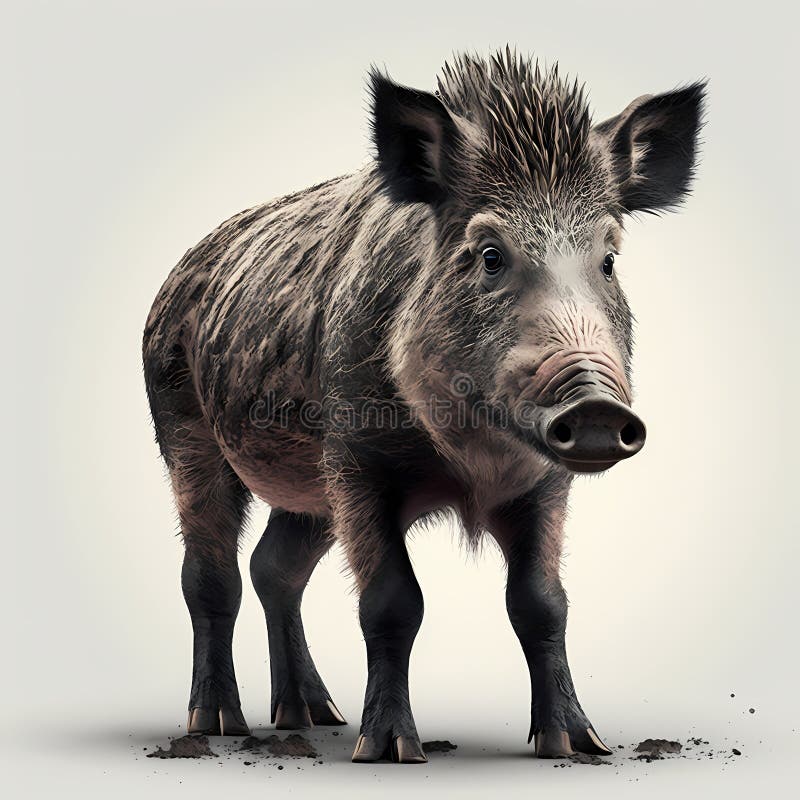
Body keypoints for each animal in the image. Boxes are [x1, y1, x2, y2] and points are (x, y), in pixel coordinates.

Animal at [143, 48, 705, 763]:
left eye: (607, 260)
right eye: (489, 255)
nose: (599, 409)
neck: (471, 463)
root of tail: (176, 278)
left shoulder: (544, 483)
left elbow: (543, 603)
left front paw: (577, 746)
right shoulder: (358, 461)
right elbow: (391, 602)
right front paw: (387, 752)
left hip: (309, 491)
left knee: (275, 568)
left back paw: (311, 717)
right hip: (185, 433)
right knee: (211, 576)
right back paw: (218, 726)